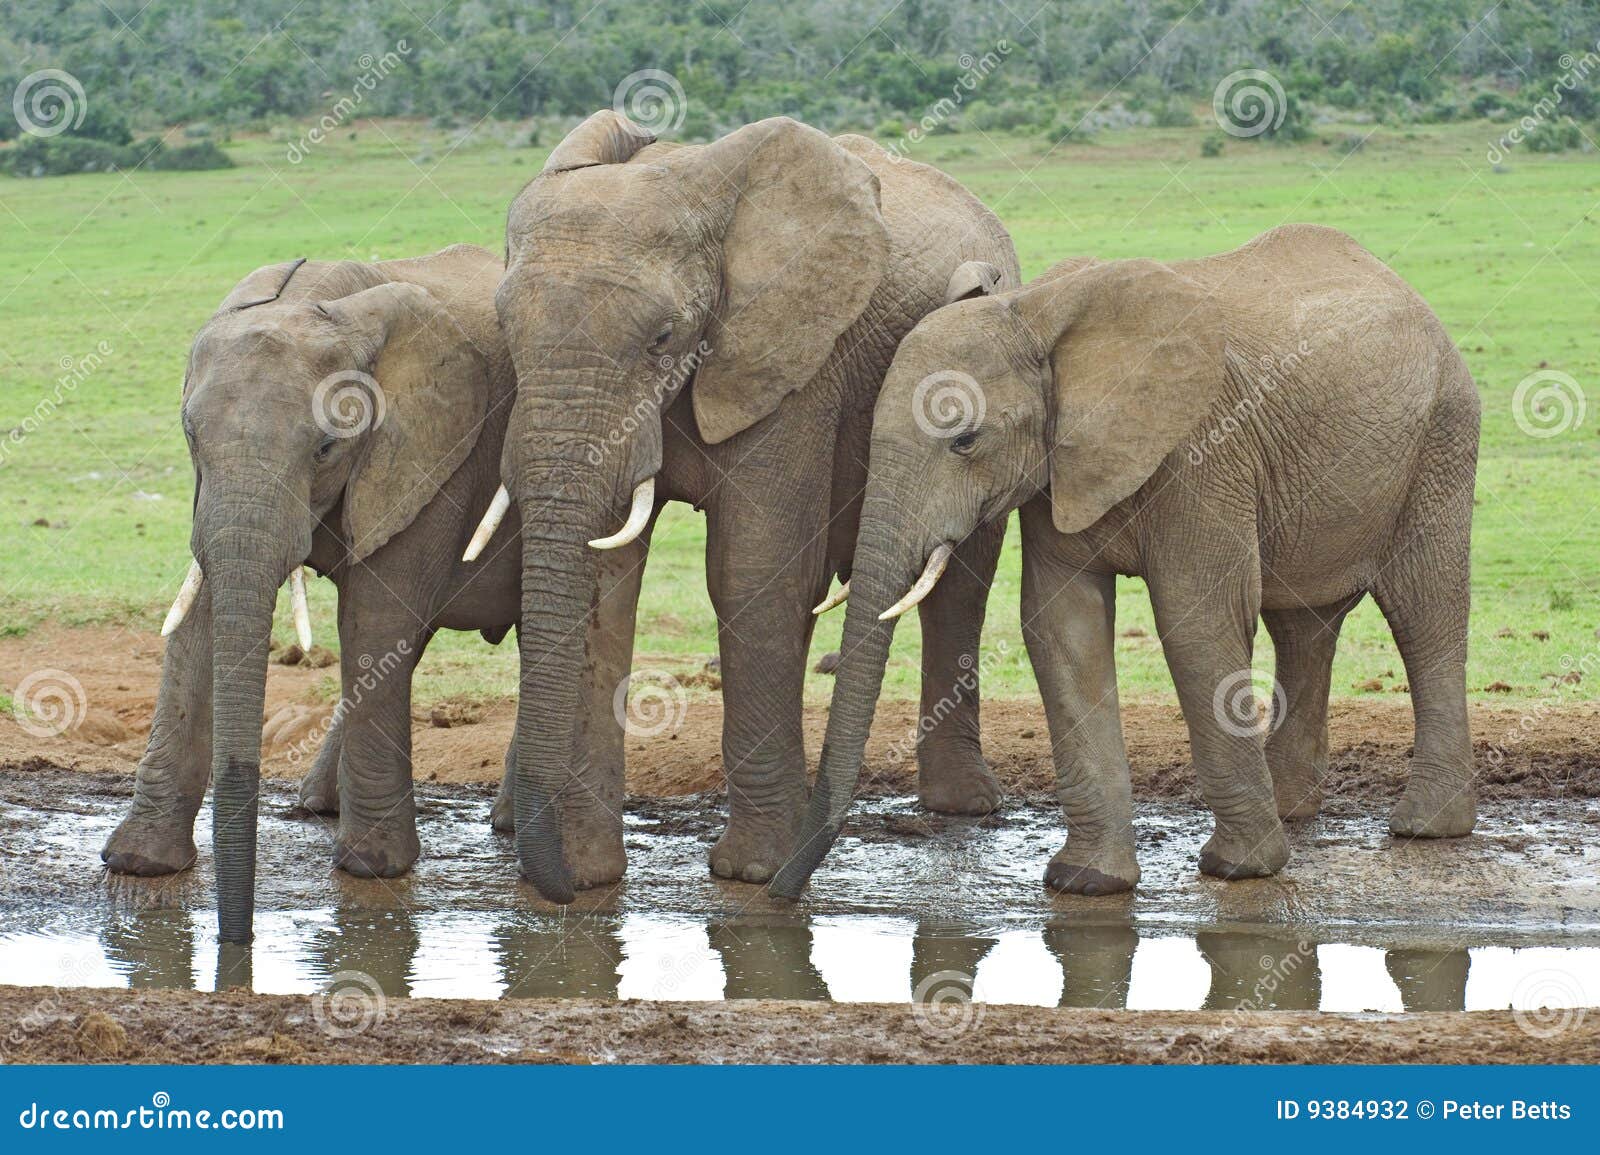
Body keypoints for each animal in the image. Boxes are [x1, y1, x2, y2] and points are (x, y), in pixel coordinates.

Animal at [99, 244, 569, 944]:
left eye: (325, 447)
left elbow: (374, 616)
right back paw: (318, 805)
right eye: (188, 437)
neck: (314, 303)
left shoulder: (432, 450)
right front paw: (138, 862)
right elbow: (199, 624)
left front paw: (373, 867)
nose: (237, 940)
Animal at [471, 110, 1020, 903]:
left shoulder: (795, 359)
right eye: (505, 334)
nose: (558, 890)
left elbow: (751, 569)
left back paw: (960, 807)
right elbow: (608, 580)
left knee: (959, 585)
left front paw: (753, 871)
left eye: (662, 338)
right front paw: (590, 875)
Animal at [771, 224, 1480, 899]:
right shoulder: (1060, 469)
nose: (783, 892)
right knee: (1303, 624)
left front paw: (1239, 869)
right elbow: (1061, 626)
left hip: (1444, 435)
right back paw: (1293, 810)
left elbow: (1197, 621)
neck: (1037, 314)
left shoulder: (1203, 451)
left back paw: (1426, 827)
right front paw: (1086, 882)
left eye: (966, 440)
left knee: (1424, 612)